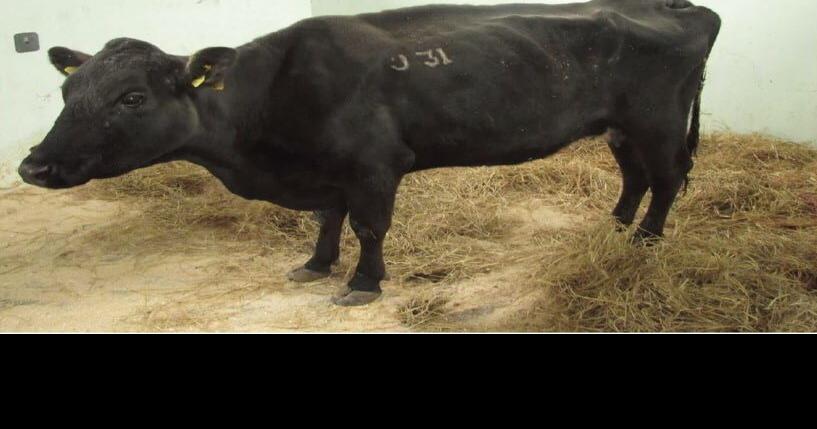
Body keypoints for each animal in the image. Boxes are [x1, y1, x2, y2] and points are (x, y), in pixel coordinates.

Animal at [18, 0, 721, 306]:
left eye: (132, 97)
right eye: (68, 90)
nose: (32, 165)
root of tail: (683, 5)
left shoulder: (374, 165)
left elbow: (369, 226)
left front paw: (362, 283)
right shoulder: (327, 171)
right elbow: (328, 220)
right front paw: (316, 264)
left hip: (656, 123)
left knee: (667, 179)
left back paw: (646, 241)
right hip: (619, 128)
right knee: (634, 178)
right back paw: (615, 227)